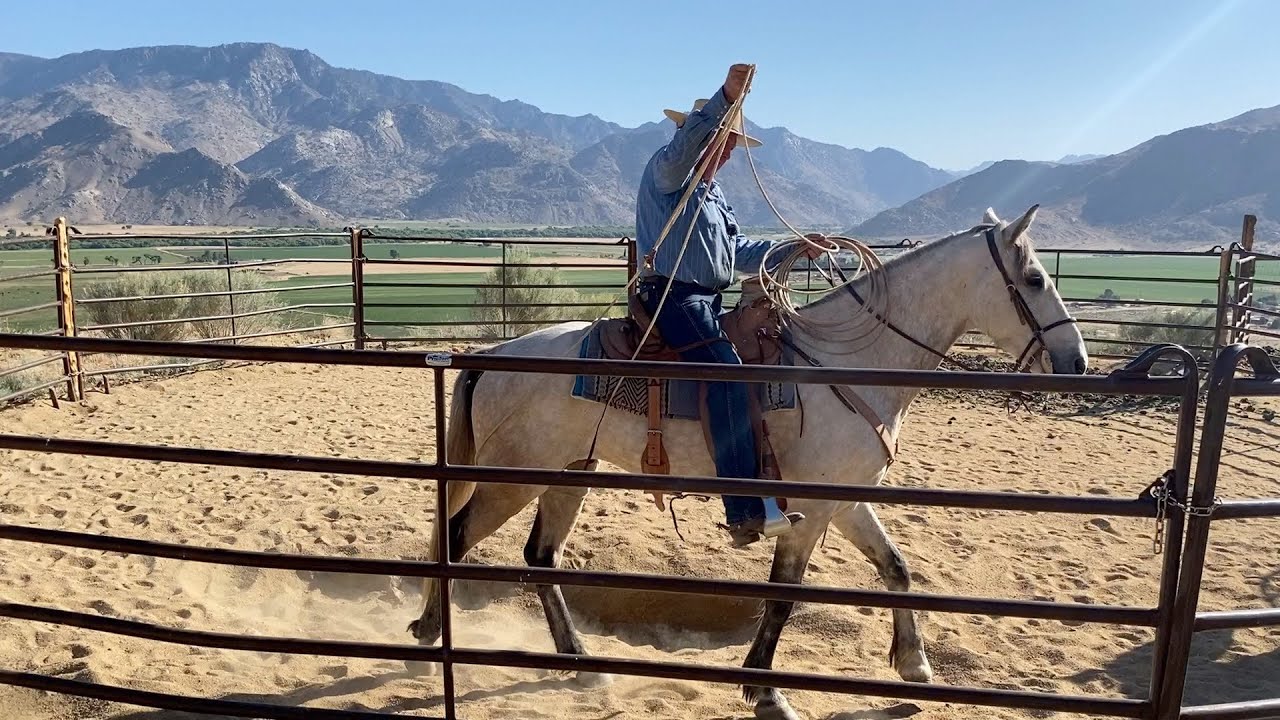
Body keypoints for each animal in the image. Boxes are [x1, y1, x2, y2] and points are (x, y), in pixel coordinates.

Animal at [407, 205, 1088, 720]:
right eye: (1033, 279)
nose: (1077, 361)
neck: (844, 364)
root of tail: (492, 355)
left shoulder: (845, 497)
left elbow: (896, 567)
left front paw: (915, 665)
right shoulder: (810, 509)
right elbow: (783, 595)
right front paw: (765, 691)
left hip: (568, 474)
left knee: (539, 557)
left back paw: (581, 665)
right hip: (511, 479)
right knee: (458, 536)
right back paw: (431, 635)